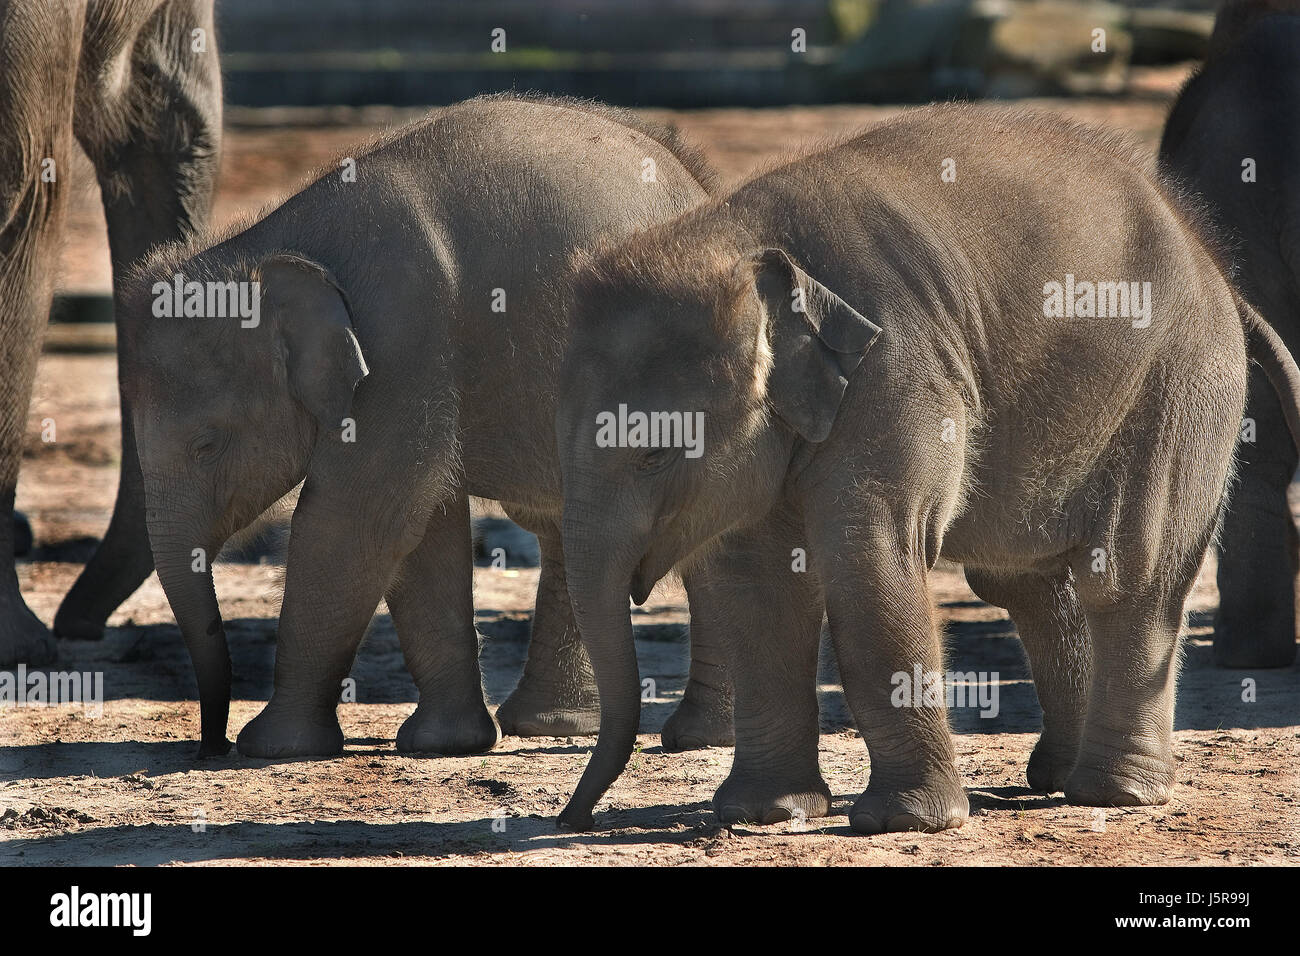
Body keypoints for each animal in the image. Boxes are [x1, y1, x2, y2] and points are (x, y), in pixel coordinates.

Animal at [118, 94, 734, 758]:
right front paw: (445, 743)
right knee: (570, 523)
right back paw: (552, 726)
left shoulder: (403, 343)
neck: (271, 249)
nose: (213, 745)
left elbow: (361, 518)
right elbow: (425, 526)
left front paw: (273, 747)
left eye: (206, 444)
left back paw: (695, 738)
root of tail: (703, 183)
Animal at [551, 103, 1300, 833]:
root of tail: (1218, 270)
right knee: (1028, 579)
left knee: (1125, 578)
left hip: (1177, 389)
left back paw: (1112, 794)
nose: (572, 817)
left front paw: (904, 821)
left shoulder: (899, 373)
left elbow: (872, 560)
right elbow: (759, 584)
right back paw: (1057, 778)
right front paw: (765, 813)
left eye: (653, 453)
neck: (738, 242)